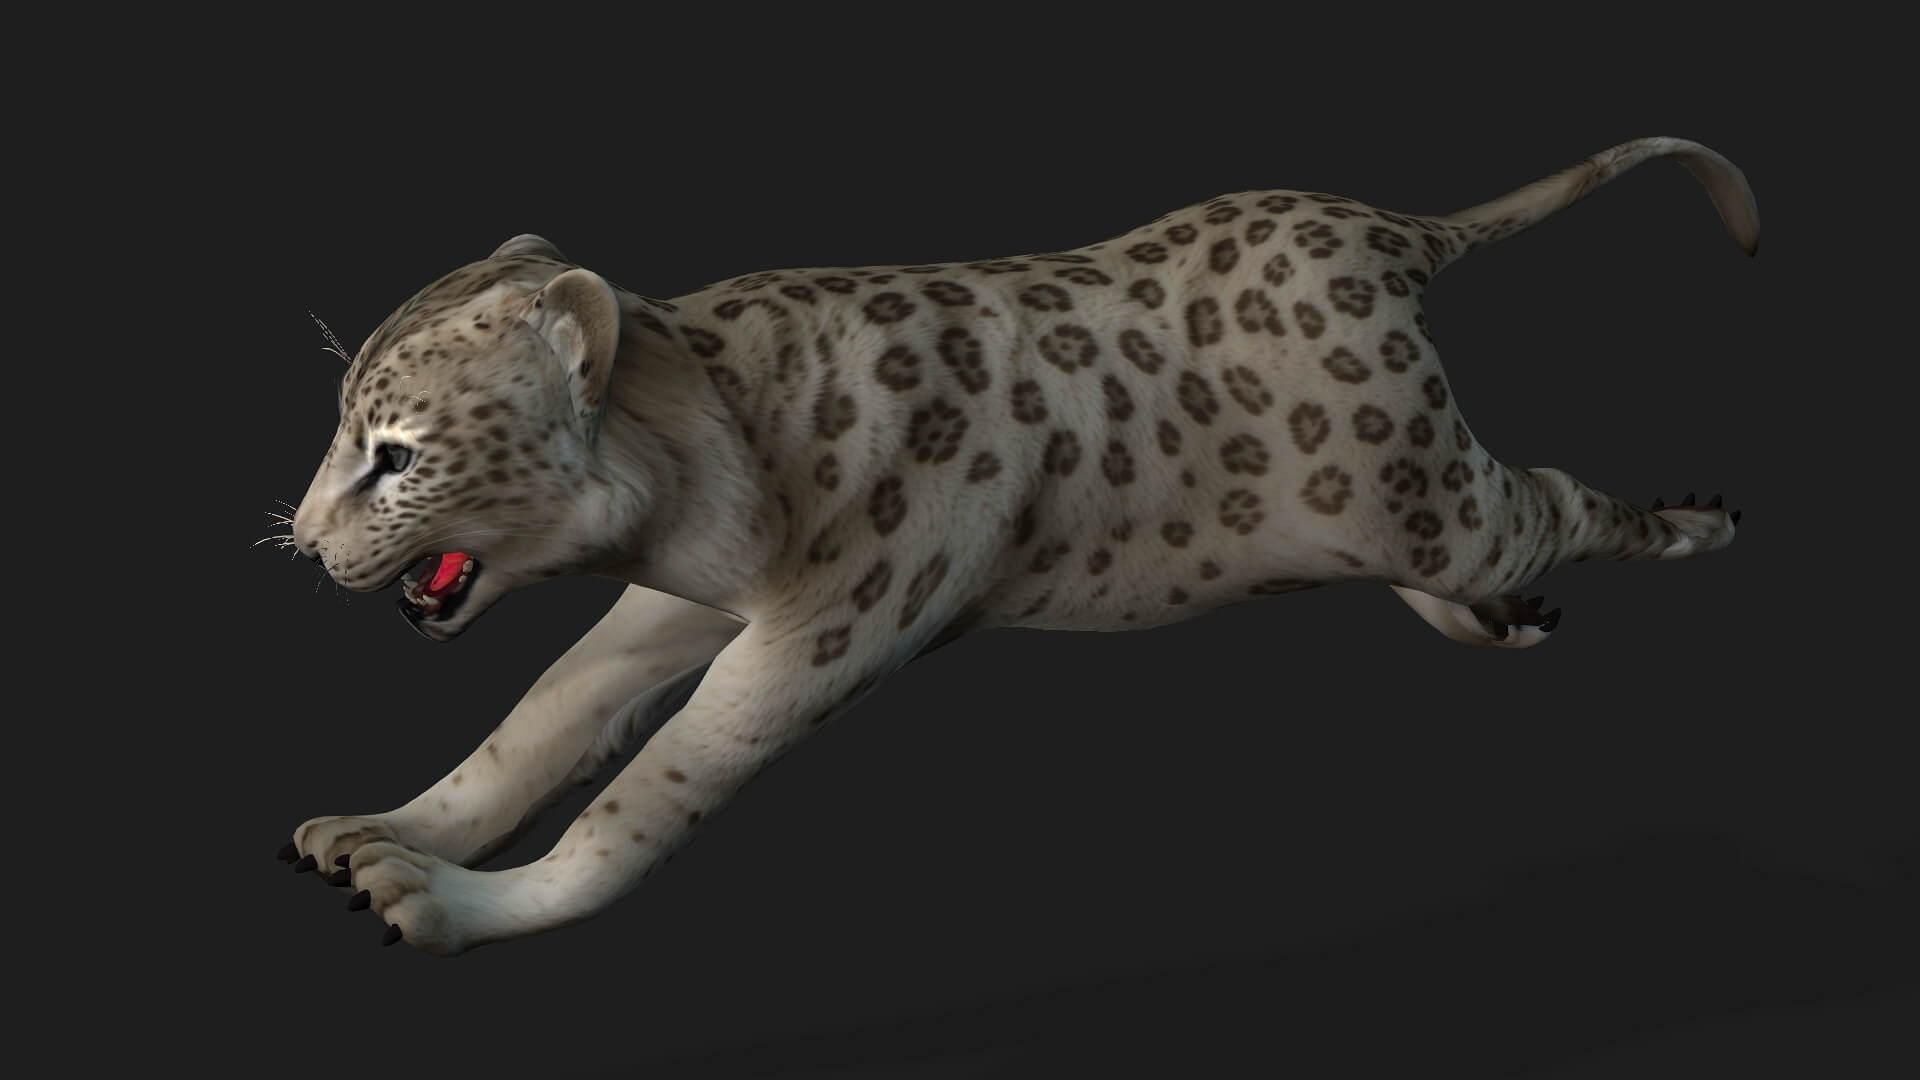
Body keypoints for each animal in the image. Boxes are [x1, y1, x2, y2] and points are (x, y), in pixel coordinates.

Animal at [281, 136, 1756, 954]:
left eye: (392, 452)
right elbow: (536, 722)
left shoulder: (815, 632)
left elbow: (649, 792)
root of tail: (1382, 226)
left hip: (1436, 499)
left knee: (1557, 498)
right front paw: (379, 830)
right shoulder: (683, 604)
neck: (705, 467)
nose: (297, 540)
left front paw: (448, 902)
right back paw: (1504, 619)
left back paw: (1699, 520)